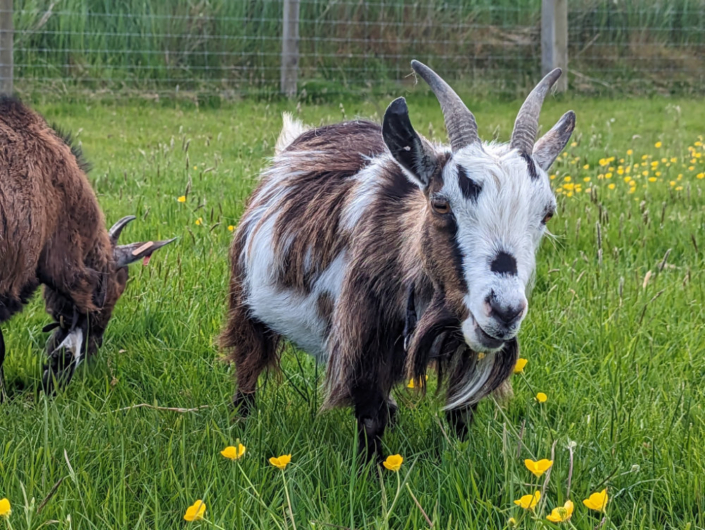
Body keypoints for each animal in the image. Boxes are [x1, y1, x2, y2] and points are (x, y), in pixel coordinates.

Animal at [220, 61, 575, 460]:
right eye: (441, 204)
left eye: (546, 214)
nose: (504, 311)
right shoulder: (362, 348)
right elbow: (371, 418)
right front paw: (372, 471)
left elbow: (461, 414)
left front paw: (459, 462)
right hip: (244, 301)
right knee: (248, 364)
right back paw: (240, 428)